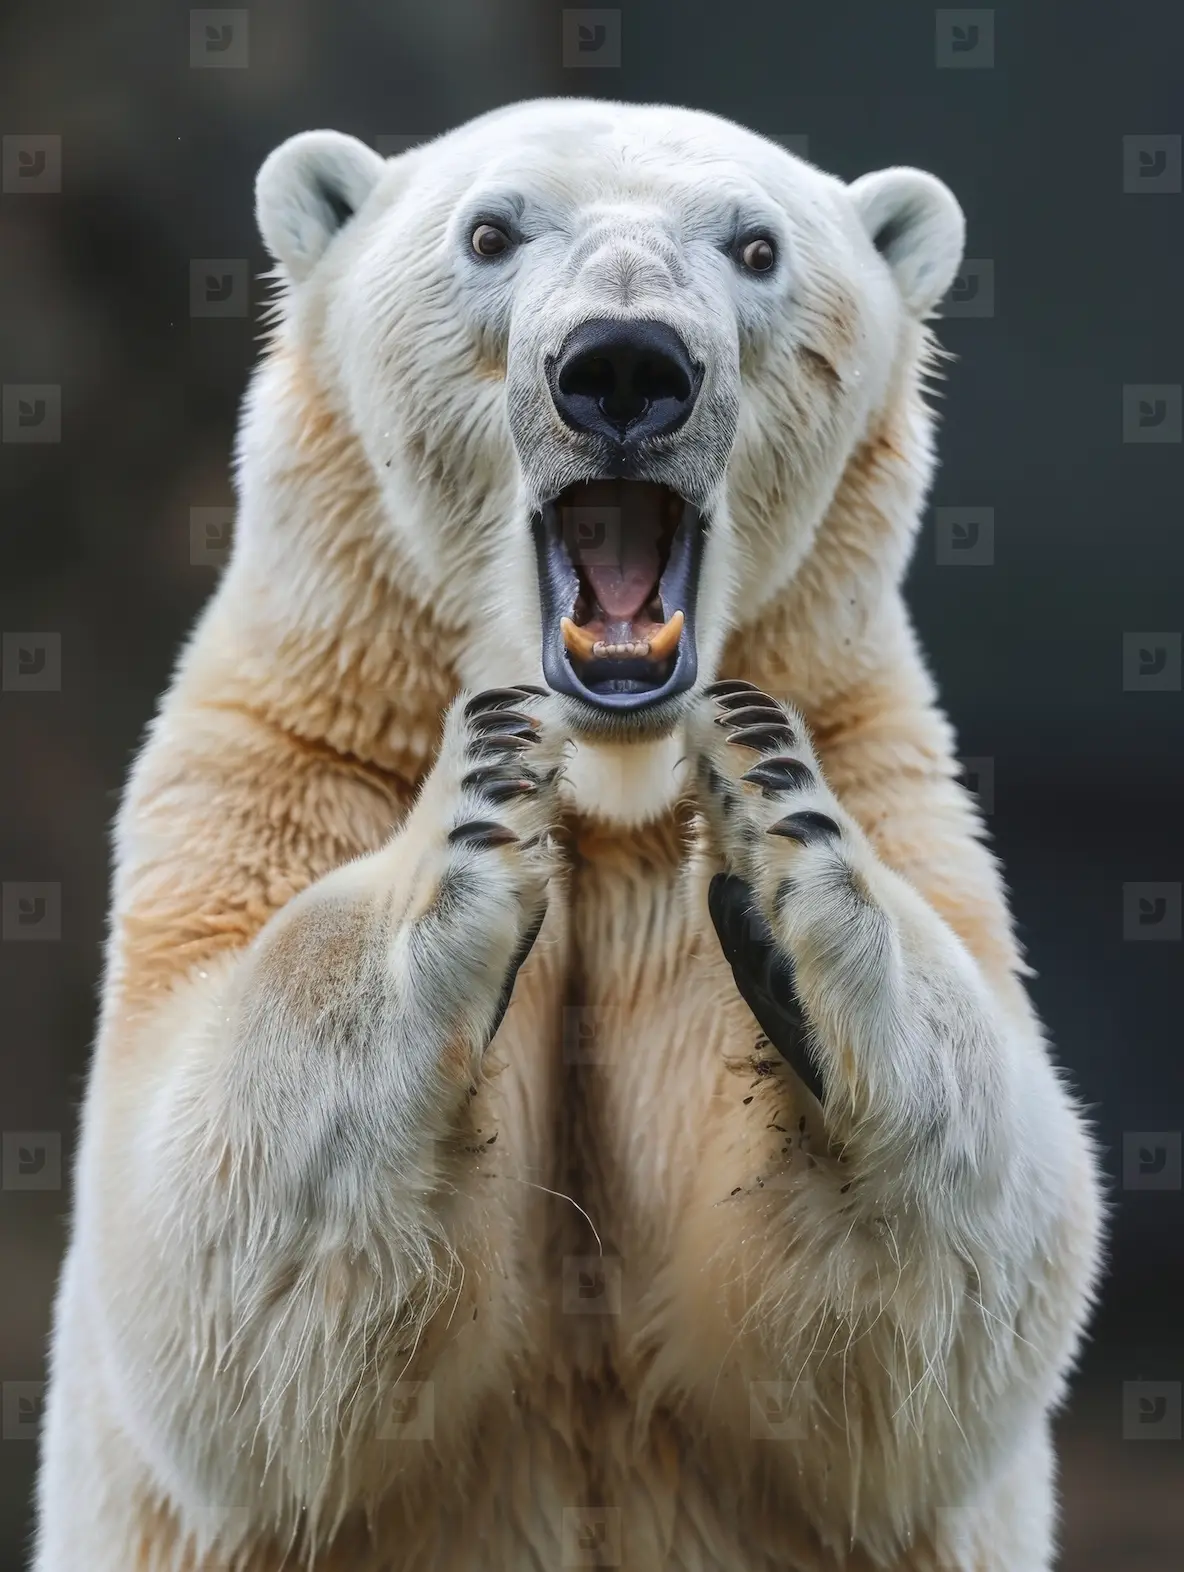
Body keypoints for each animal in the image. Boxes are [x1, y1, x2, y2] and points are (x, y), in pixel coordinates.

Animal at [34, 99, 1102, 1572]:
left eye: (755, 245)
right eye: (491, 231)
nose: (625, 365)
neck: (614, 787)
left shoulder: (873, 748)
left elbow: (949, 1312)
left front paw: (778, 836)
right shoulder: (296, 753)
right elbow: (211, 1277)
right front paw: (467, 823)